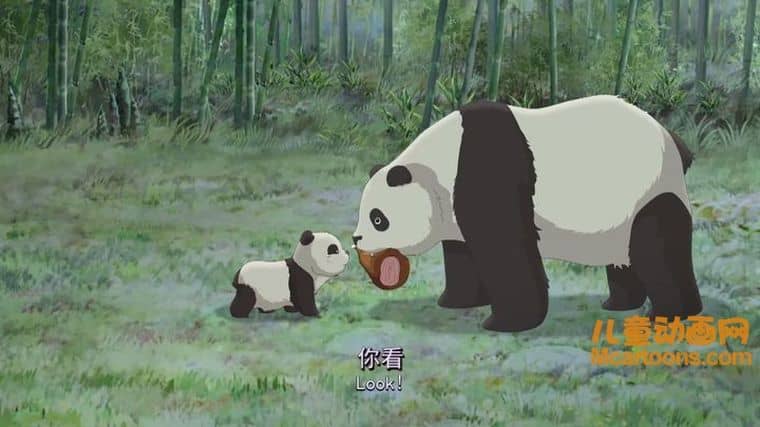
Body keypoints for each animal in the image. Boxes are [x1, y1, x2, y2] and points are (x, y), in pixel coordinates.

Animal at [352, 95, 703, 333]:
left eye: (378, 218)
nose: (356, 240)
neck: (441, 160)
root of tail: (673, 140)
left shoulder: (487, 171)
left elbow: (506, 249)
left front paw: (504, 321)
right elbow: (460, 251)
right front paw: (455, 300)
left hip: (650, 190)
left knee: (657, 246)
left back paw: (669, 313)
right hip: (620, 211)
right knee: (624, 254)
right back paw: (619, 303)